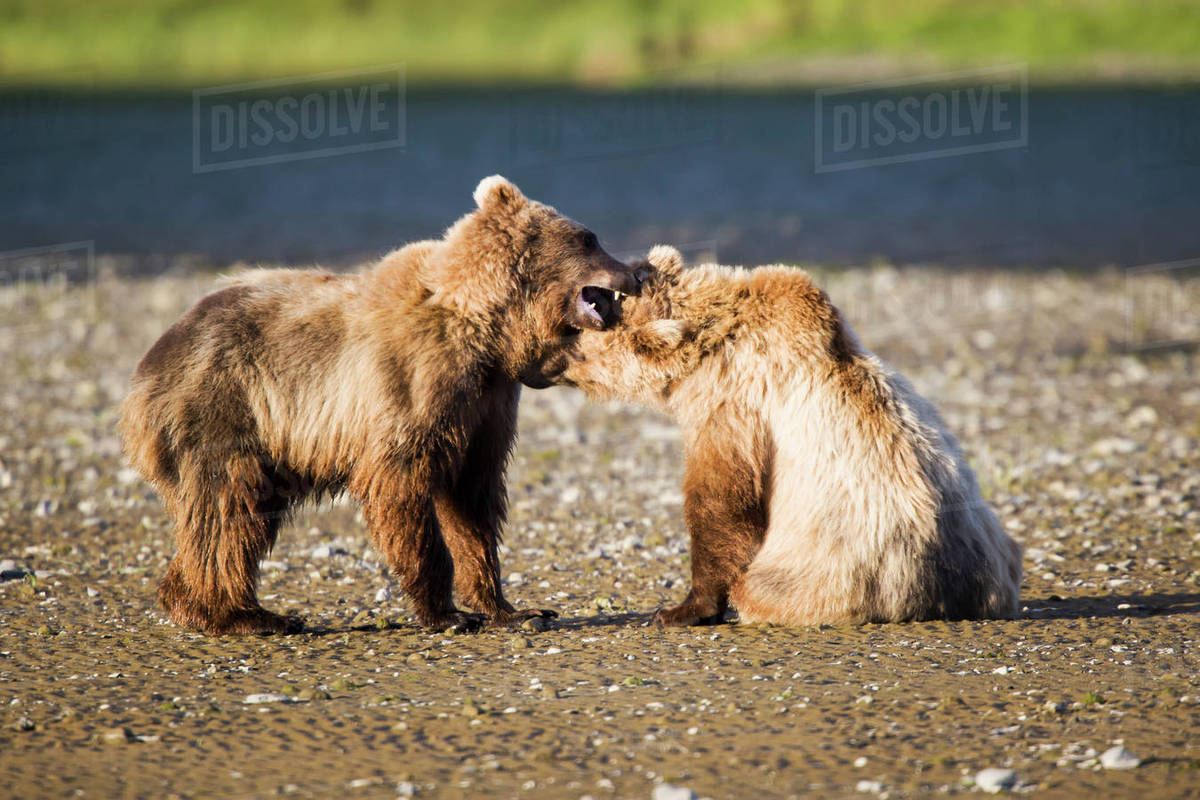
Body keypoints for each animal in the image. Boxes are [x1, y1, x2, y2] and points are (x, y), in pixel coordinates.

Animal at [119, 176, 642, 636]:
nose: (636, 272)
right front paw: (448, 614)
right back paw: (247, 615)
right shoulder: (412, 382)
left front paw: (513, 609)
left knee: (224, 517)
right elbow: (402, 484)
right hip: (225, 407)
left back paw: (194, 600)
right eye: (590, 238)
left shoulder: (485, 404)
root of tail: (143, 374)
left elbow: (473, 501)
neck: (483, 332)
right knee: (229, 508)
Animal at [541, 245, 1022, 627]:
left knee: (767, 585)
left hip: (832, 570)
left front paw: (679, 609)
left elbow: (719, 499)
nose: (540, 366)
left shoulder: (734, 401)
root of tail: (943, 589)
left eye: (576, 334)